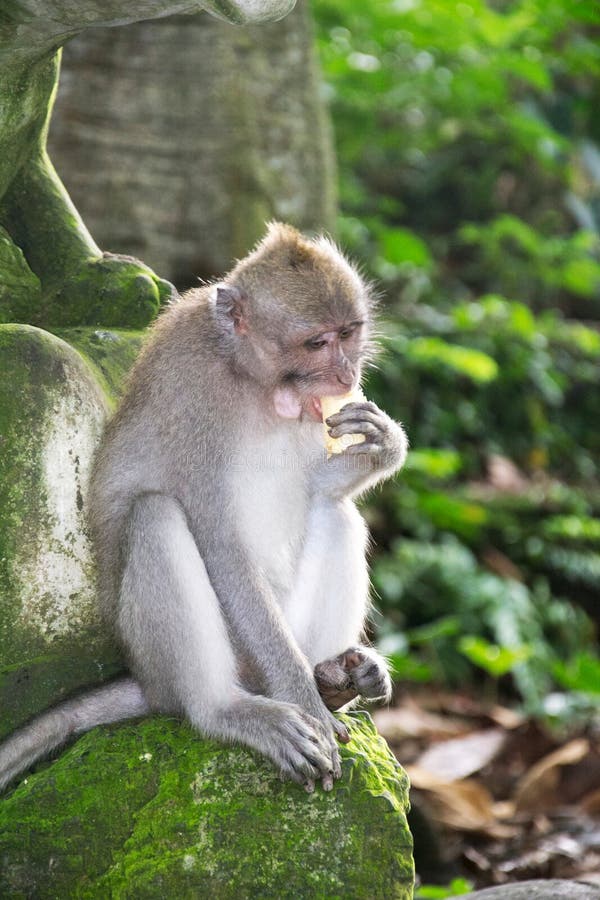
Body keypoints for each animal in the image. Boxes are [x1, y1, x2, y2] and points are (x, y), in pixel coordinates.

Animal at [0, 223, 408, 794]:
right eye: (317, 343)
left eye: (348, 333)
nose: (347, 373)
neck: (255, 382)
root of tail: (148, 683)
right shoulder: (194, 396)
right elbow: (221, 542)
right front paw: (304, 703)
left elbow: (322, 484)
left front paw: (385, 442)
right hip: (184, 662)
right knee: (156, 516)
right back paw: (232, 710)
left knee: (336, 511)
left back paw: (336, 678)